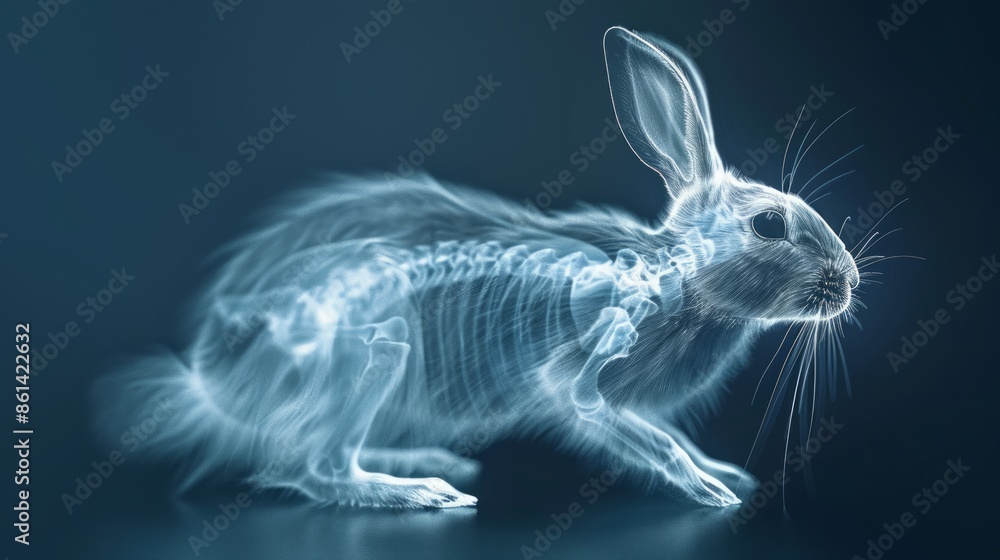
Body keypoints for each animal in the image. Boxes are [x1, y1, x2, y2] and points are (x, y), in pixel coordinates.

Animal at [93, 26, 860, 509]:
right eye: (769, 225)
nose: (849, 283)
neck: (684, 277)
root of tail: (209, 381)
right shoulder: (585, 379)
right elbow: (647, 438)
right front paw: (712, 491)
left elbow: (672, 438)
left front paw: (725, 472)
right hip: (376, 346)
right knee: (312, 467)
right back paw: (420, 492)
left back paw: (427, 464)